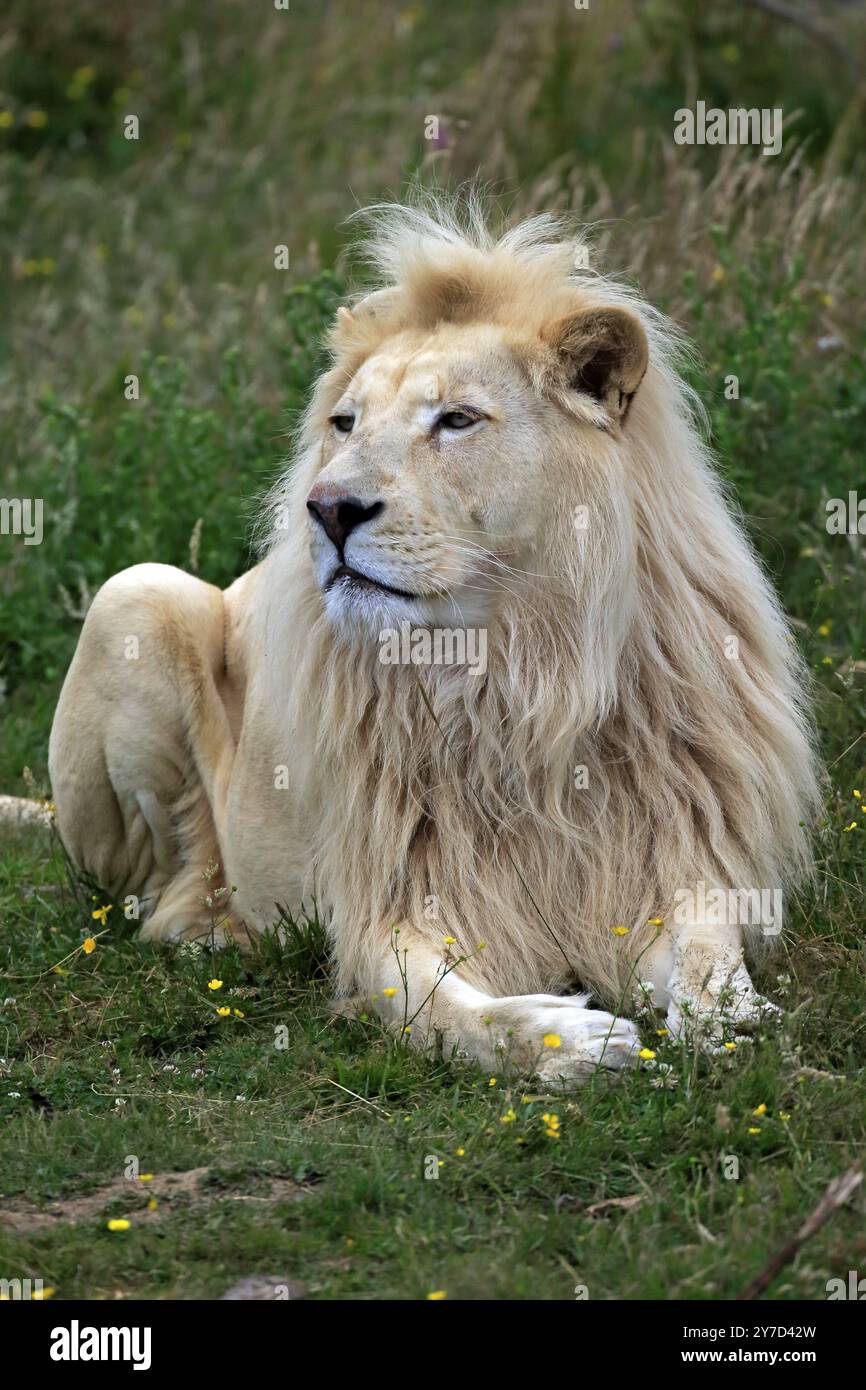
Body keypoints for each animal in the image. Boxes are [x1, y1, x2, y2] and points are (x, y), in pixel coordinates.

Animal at [47, 195, 820, 1086]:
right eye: (344, 424)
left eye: (456, 420)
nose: (328, 508)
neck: (516, 670)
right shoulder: (388, 898)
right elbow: (436, 1006)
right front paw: (568, 1040)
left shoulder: (676, 858)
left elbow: (707, 952)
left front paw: (734, 1020)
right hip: (134, 595)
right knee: (154, 893)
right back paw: (213, 924)